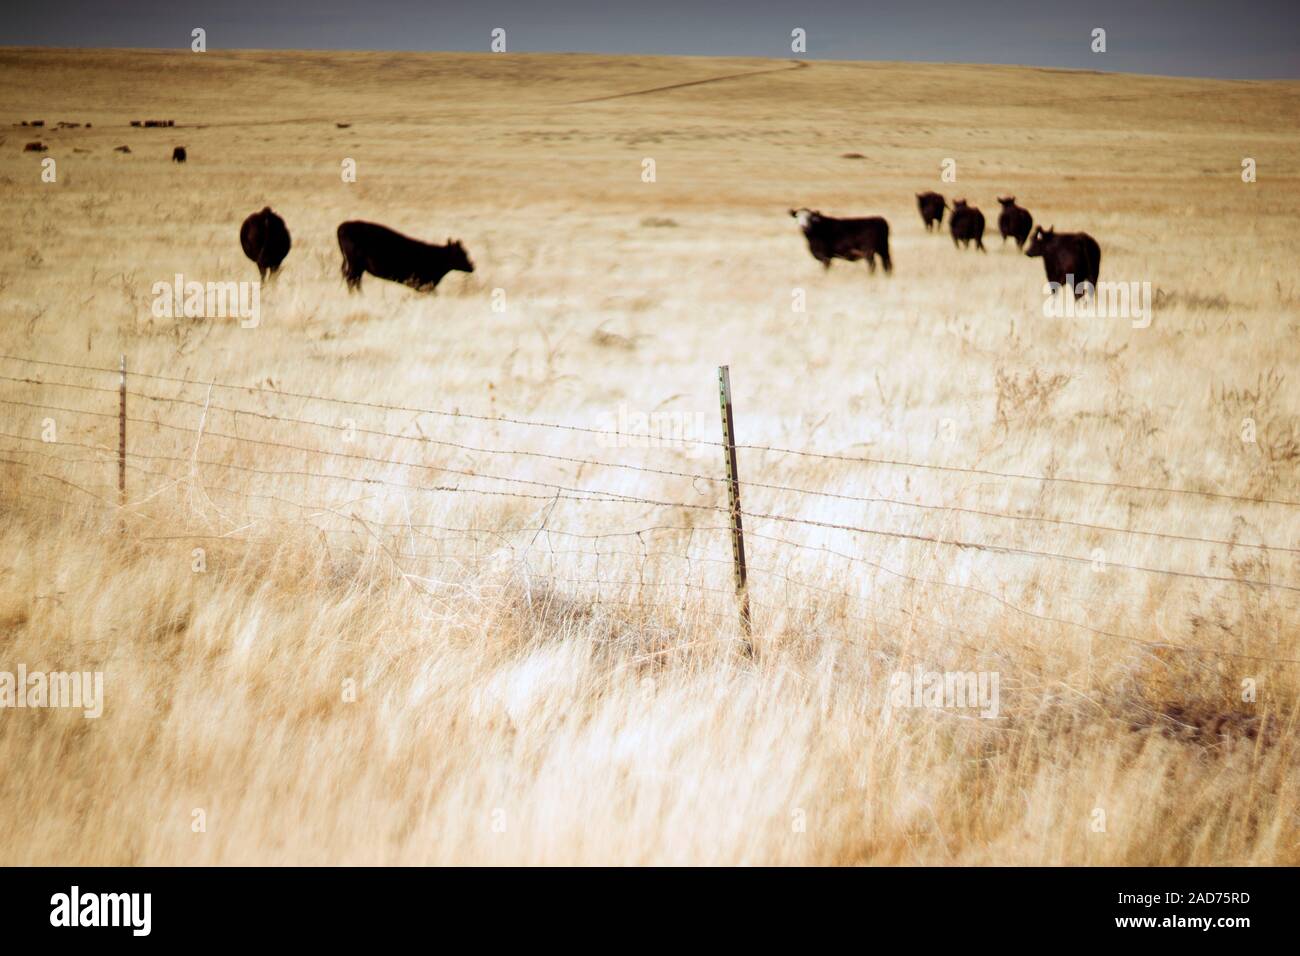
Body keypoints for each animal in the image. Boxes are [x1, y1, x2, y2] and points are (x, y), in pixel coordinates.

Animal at [337, 221, 475, 292]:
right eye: (462, 254)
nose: (472, 266)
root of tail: (343, 226)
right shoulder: (423, 284)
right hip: (355, 265)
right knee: (352, 280)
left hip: (358, 266)